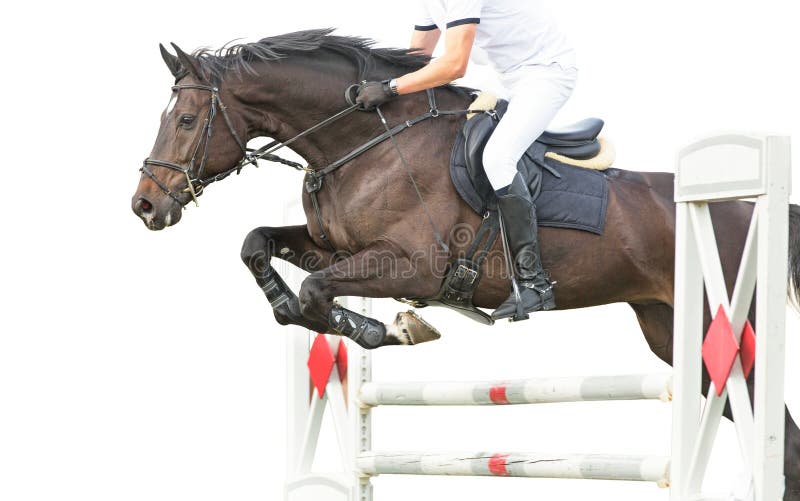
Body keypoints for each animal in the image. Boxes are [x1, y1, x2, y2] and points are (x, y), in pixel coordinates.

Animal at [130, 29, 800, 498]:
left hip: (727, 327)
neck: (362, 145)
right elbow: (258, 247)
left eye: (185, 120)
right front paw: (292, 306)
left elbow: (320, 292)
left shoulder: (415, 266)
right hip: (672, 332)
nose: (144, 206)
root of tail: (741, 204)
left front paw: (388, 328)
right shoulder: (340, 248)